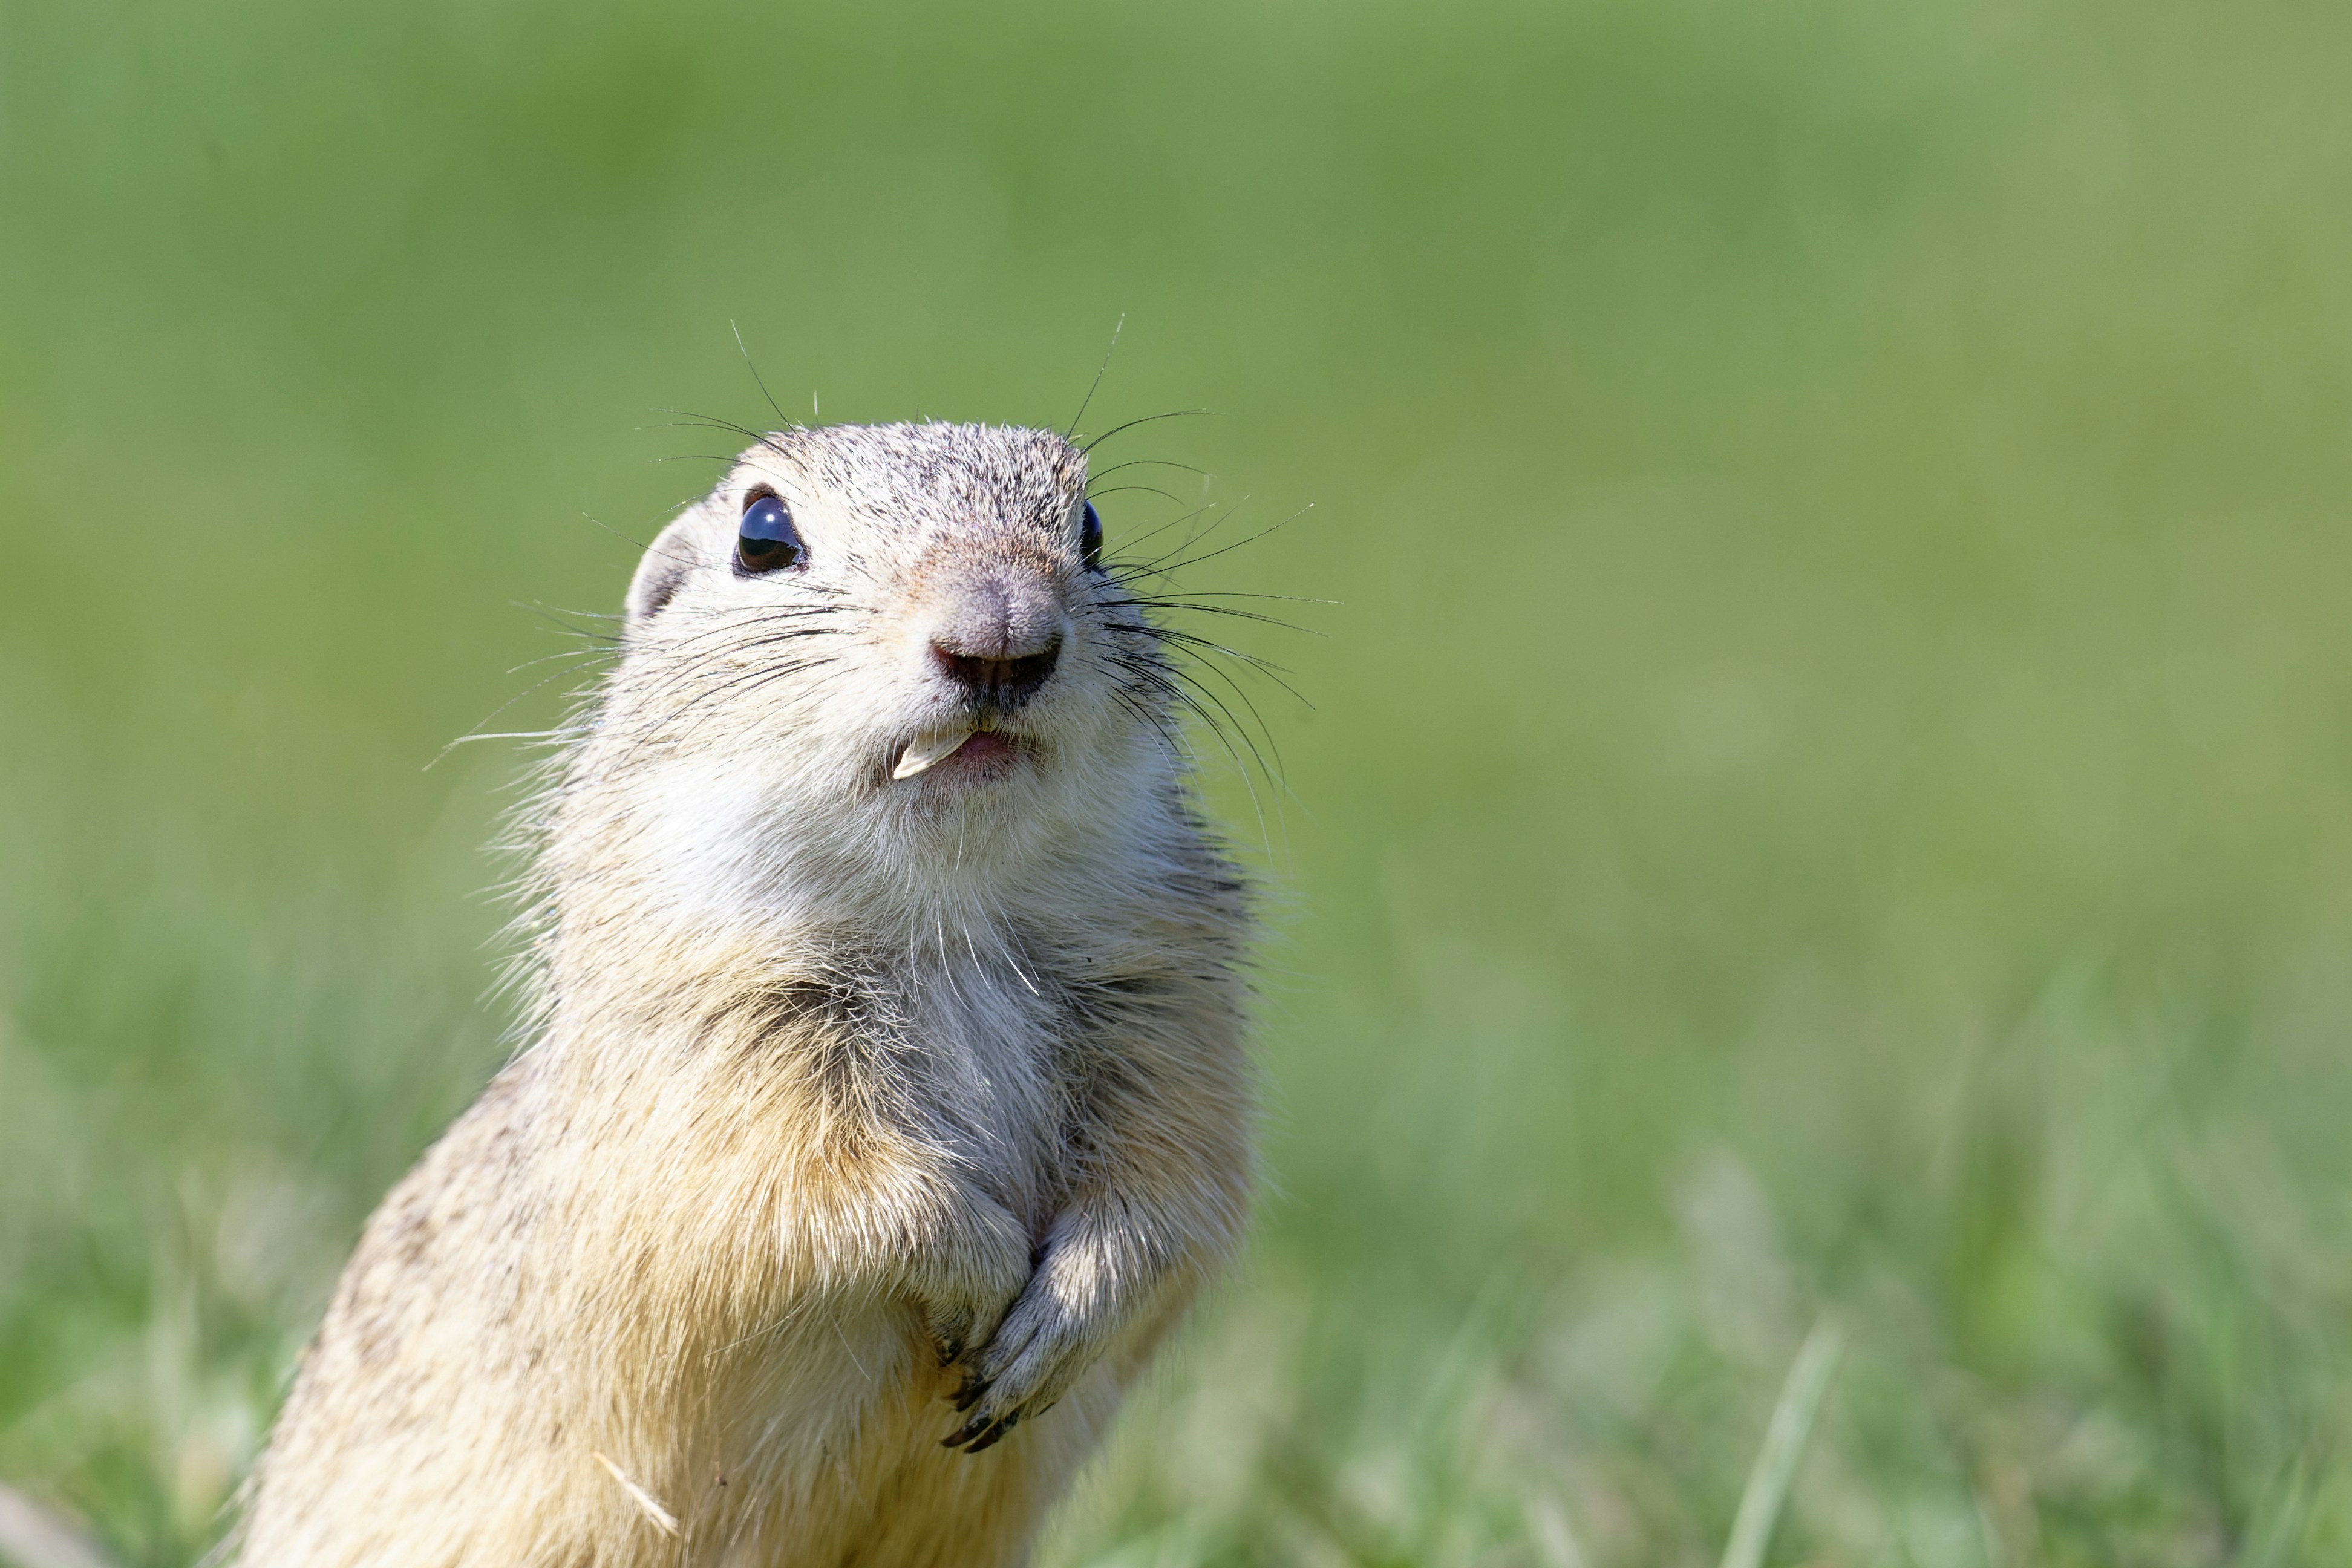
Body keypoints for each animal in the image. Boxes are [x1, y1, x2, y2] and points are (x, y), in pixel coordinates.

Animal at [237, 421, 1256, 1566]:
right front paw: (978, 1266)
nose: (1001, 635)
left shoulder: (1171, 1012)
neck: (948, 919)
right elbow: (804, 1191)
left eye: (1090, 530)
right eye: (764, 534)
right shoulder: (707, 1059)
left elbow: (1174, 1192)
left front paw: (1064, 1314)